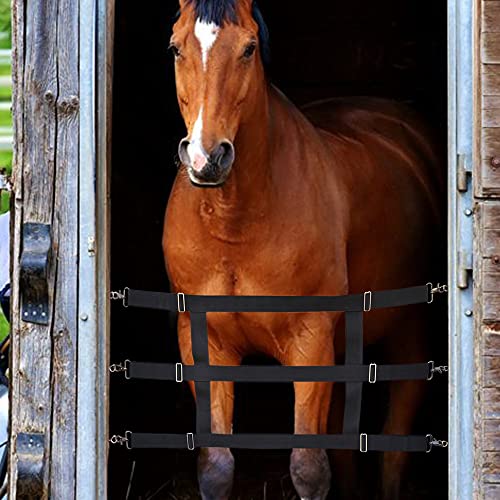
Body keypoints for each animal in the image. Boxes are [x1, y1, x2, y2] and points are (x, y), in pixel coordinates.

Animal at [162, 1, 440, 498]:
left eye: (249, 48)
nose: (206, 158)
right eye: (176, 47)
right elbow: (217, 467)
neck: (235, 223)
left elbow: (308, 467)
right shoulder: (203, 344)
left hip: (408, 335)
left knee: (394, 446)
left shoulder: (310, 343)